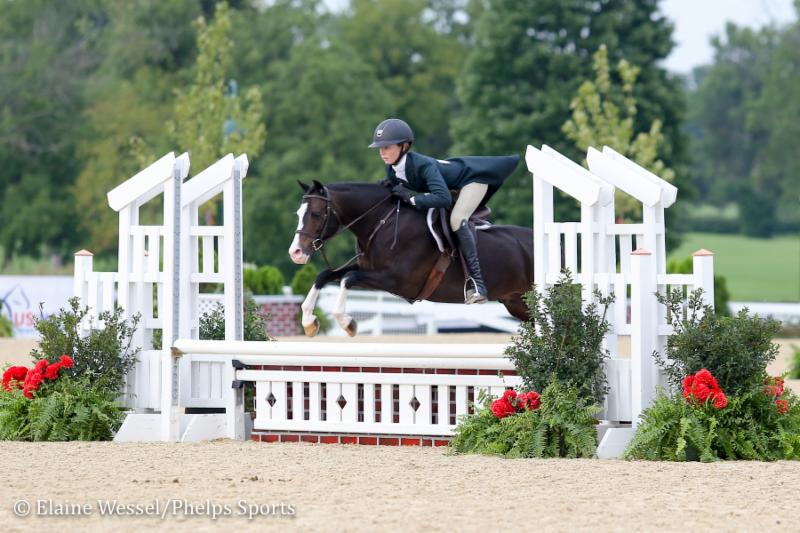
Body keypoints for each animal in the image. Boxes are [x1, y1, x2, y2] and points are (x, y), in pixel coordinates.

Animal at [288, 180, 534, 336]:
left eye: (316, 214)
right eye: (298, 214)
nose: (295, 252)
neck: (383, 222)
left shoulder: (397, 280)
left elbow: (348, 278)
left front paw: (347, 323)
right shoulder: (369, 268)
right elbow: (325, 275)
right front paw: (309, 322)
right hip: (517, 303)